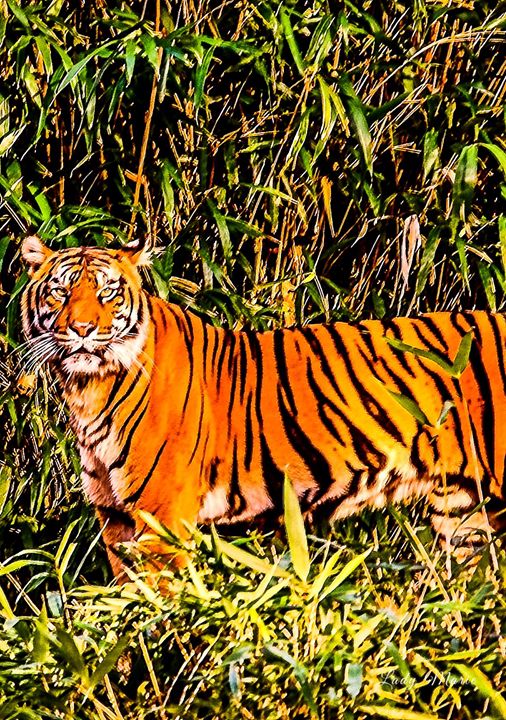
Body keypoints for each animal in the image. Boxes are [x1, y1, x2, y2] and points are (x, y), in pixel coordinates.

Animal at [20, 234, 505, 577]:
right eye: (60, 292)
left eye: (108, 293)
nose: (82, 329)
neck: (89, 388)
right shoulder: (115, 518)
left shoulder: (162, 518)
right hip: (465, 516)